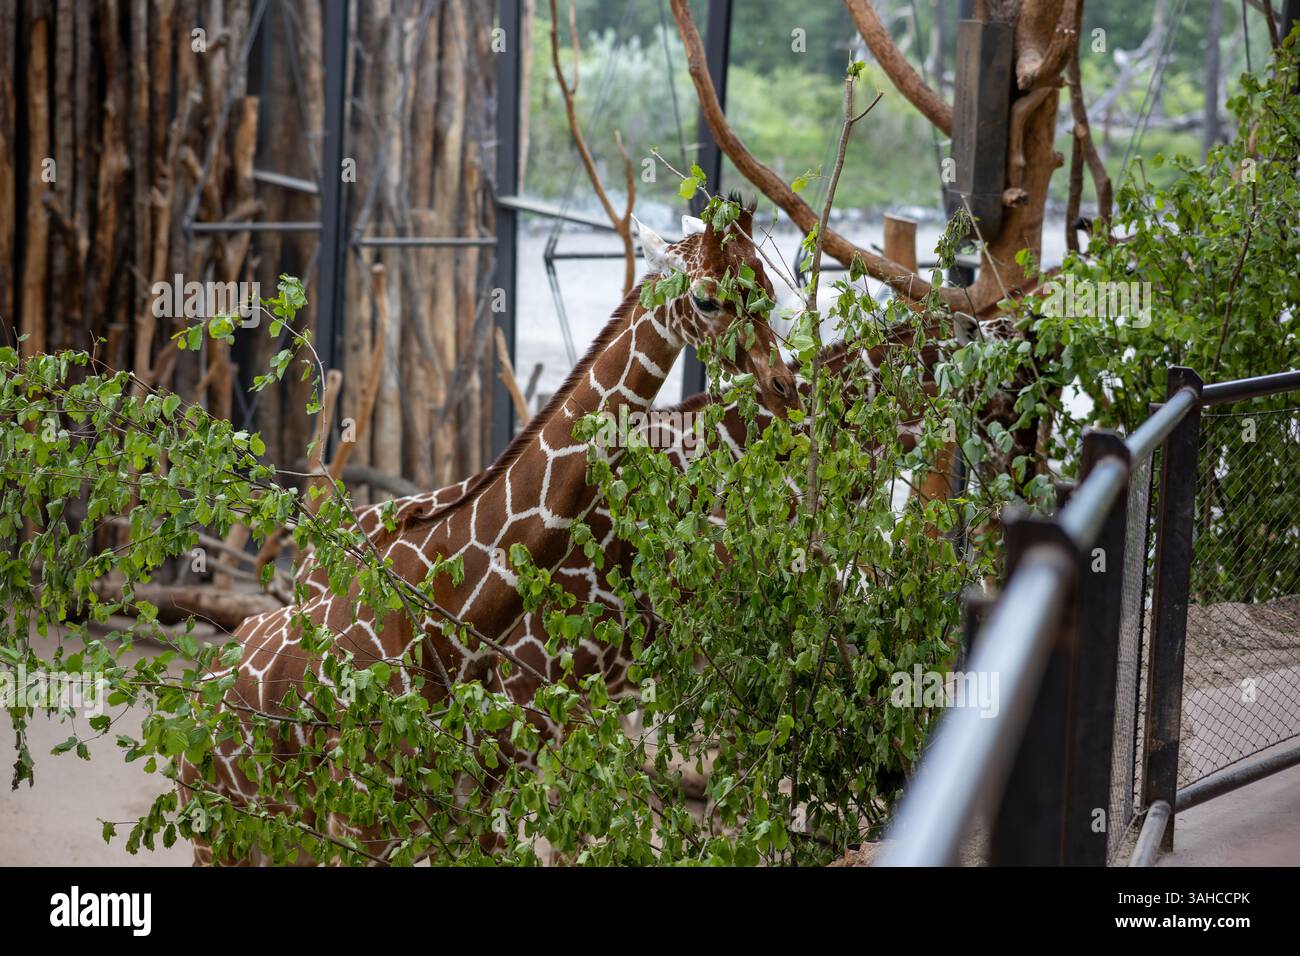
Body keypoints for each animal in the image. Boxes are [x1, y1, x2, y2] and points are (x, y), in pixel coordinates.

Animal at [178, 201, 799, 864]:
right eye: (707, 298)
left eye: (767, 286)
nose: (783, 389)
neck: (456, 627)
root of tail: (198, 687)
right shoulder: (371, 826)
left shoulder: (468, 813)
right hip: (225, 832)